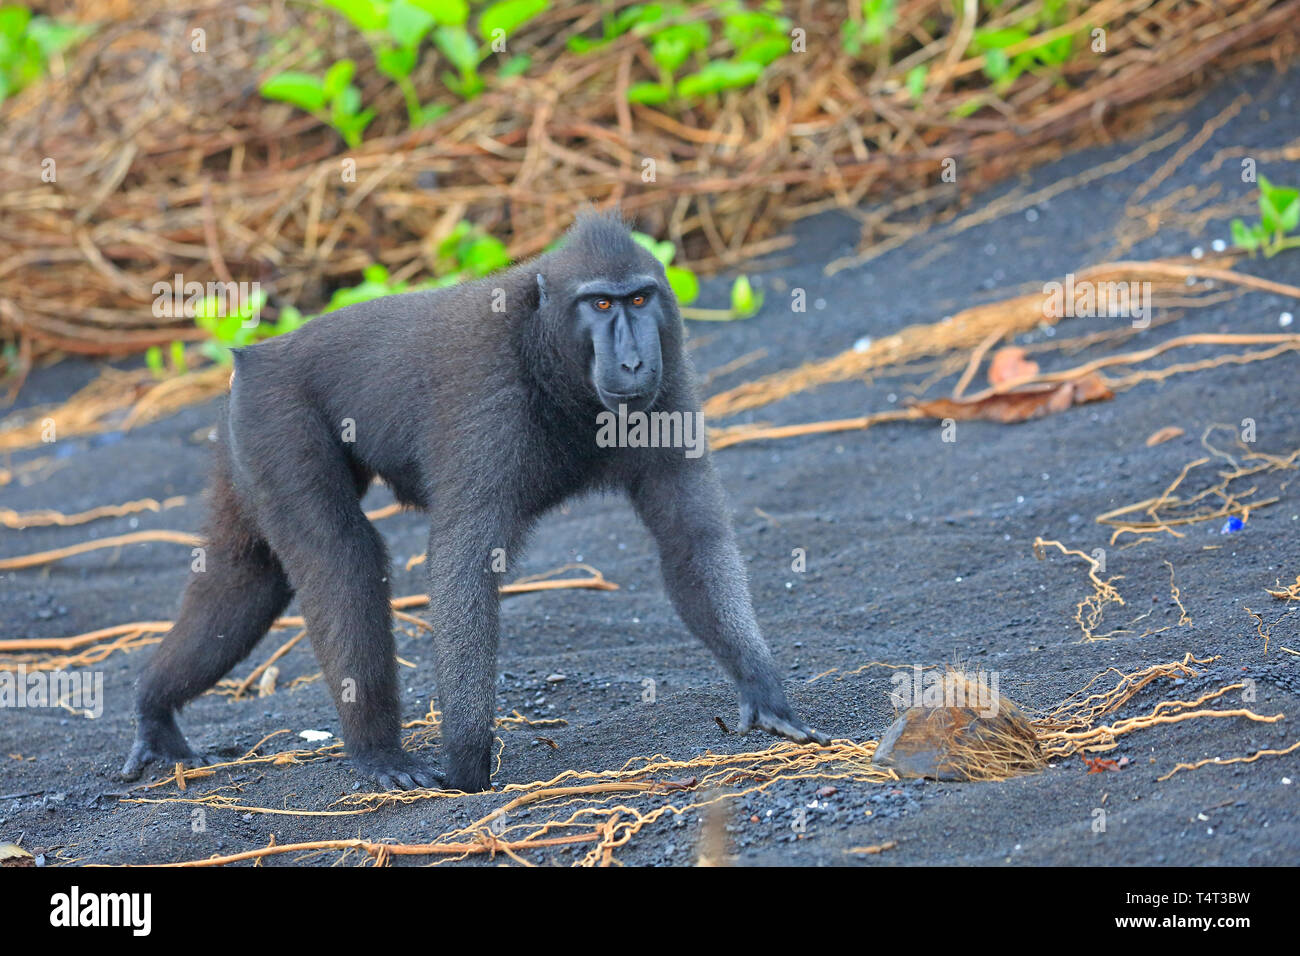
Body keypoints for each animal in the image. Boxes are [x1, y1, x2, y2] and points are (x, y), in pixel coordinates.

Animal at [121, 210, 829, 793]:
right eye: (599, 303)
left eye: (638, 298)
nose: (631, 362)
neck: (547, 350)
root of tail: (256, 355)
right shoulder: (492, 397)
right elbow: (463, 567)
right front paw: (467, 762)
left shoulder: (671, 382)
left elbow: (690, 539)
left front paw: (764, 691)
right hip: (274, 415)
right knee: (338, 558)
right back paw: (376, 754)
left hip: (245, 434)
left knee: (246, 574)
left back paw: (155, 711)